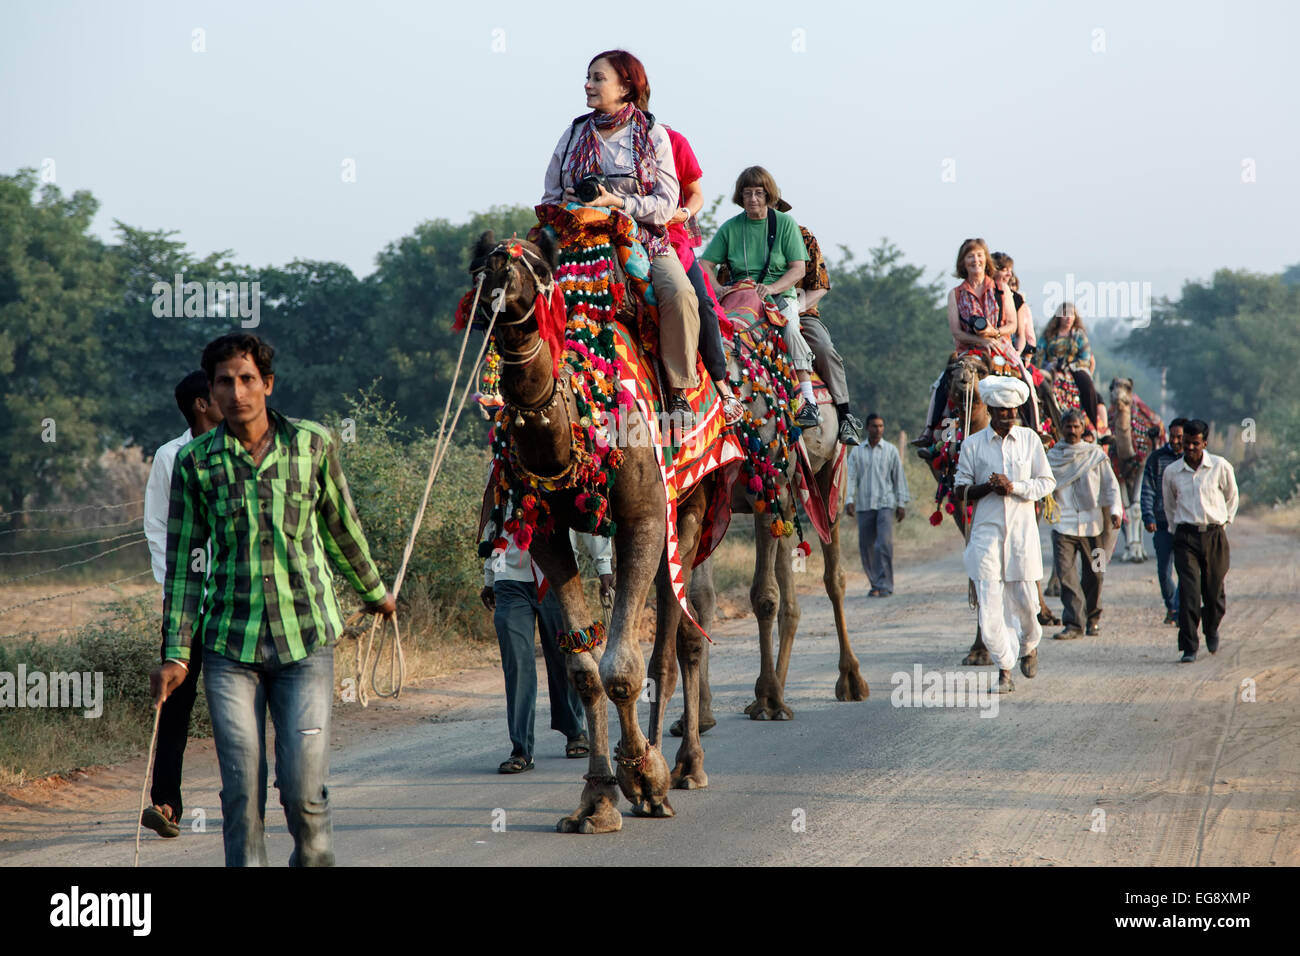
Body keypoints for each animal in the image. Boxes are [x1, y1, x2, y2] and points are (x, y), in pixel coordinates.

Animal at [469, 227, 722, 830]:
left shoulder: (644, 516)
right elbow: (584, 668)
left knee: (679, 637)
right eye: (483, 264)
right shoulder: (545, 532)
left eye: (538, 267)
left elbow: (623, 668)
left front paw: (644, 781)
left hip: (693, 500)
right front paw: (598, 800)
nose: (500, 273)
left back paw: (684, 767)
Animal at [1108, 377, 1164, 563]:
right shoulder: (1118, 470)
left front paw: (1137, 552)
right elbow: (1126, 508)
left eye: (1128, 387)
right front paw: (1129, 552)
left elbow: (1136, 509)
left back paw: (1142, 550)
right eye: (1111, 387)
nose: (1118, 396)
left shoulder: (1142, 466)